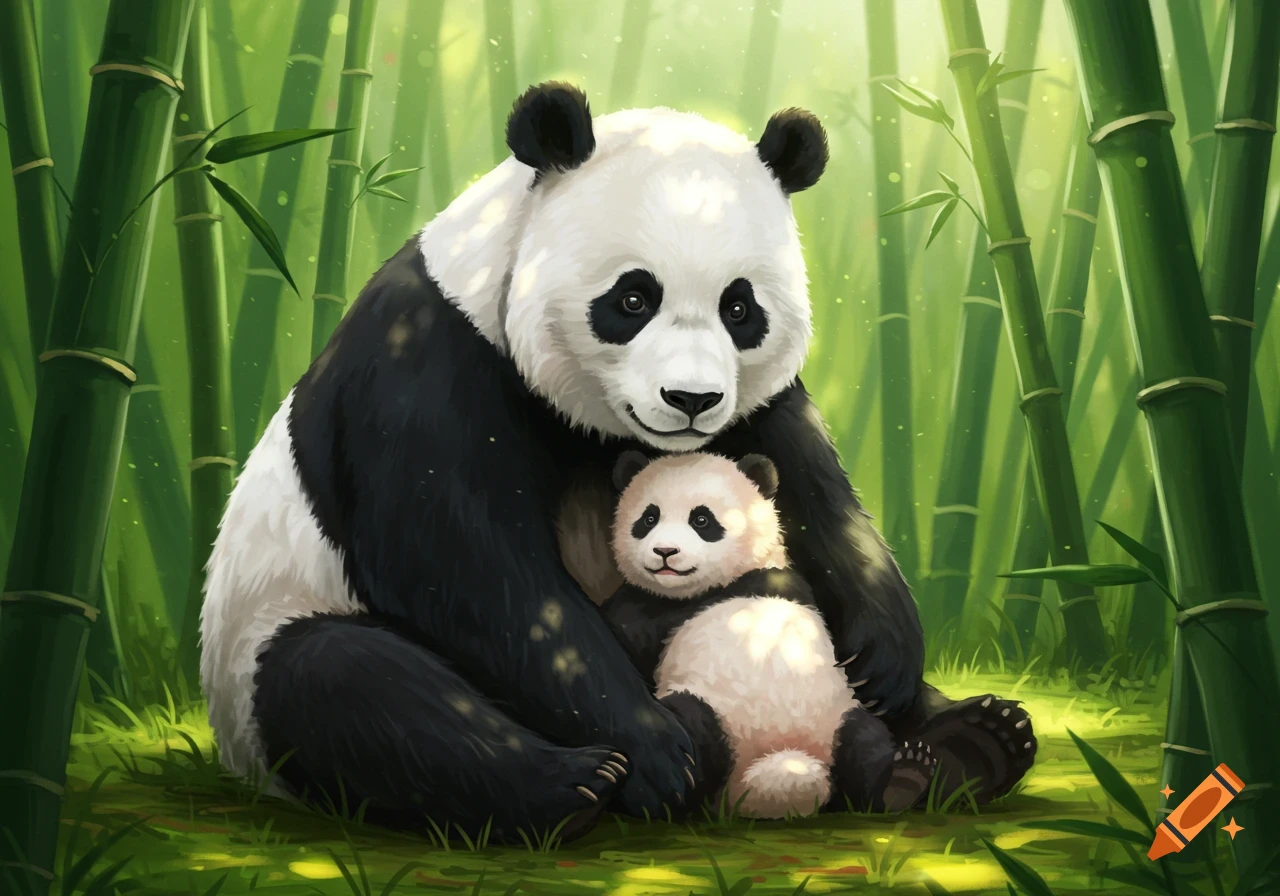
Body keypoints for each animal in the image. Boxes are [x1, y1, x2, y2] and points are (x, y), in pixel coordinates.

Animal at [602, 450, 938, 818]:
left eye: (702, 520)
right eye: (649, 518)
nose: (665, 552)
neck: (707, 589)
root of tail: (775, 774)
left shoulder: (785, 581)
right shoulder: (649, 610)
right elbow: (625, 635)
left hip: (837, 719)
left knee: (864, 740)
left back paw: (903, 779)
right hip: (712, 714)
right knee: (693, 727)